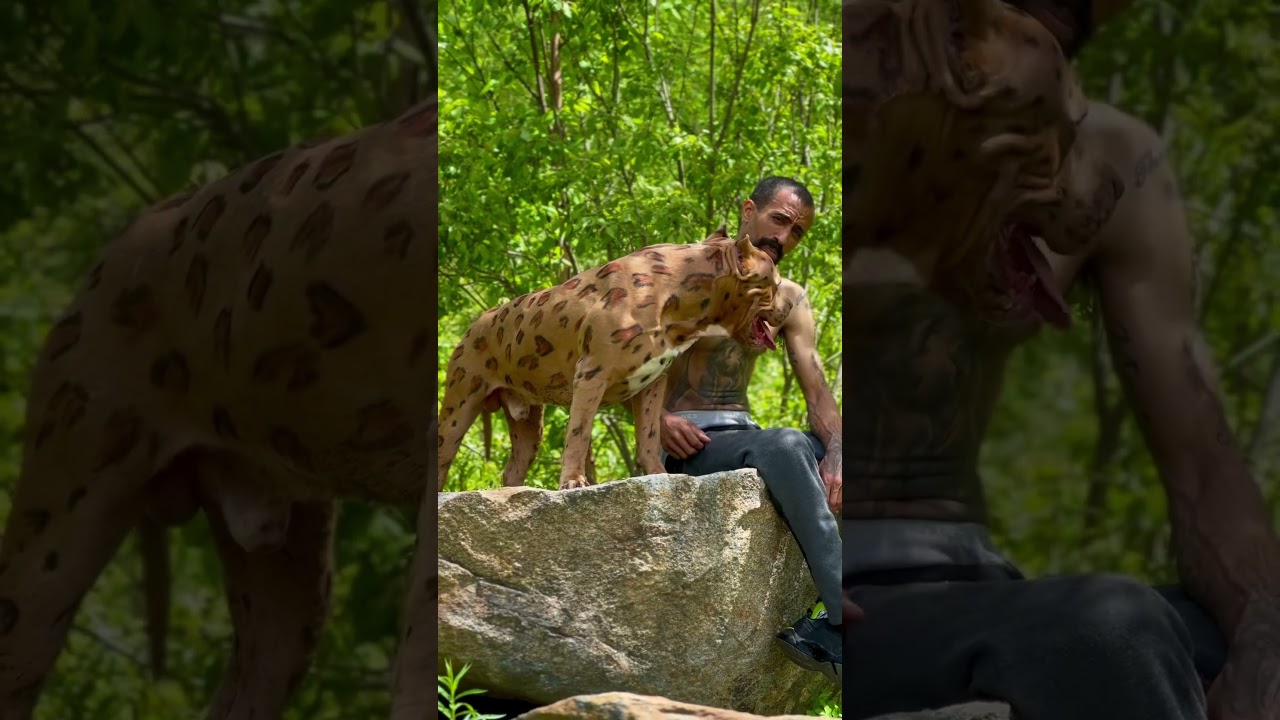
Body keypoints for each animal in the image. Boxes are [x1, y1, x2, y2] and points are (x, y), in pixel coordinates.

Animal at [438, 231, 783, 492]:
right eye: (775, 284)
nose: (789, 305)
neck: (675, 294)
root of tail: (476, 322)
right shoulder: (592, 376)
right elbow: (579, 434)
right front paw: (573, 482)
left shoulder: (652, 385)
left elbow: (648, 436)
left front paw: (659, 475)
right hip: (459, 406)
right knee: (442, 458)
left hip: (526, 424)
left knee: (513, 468)